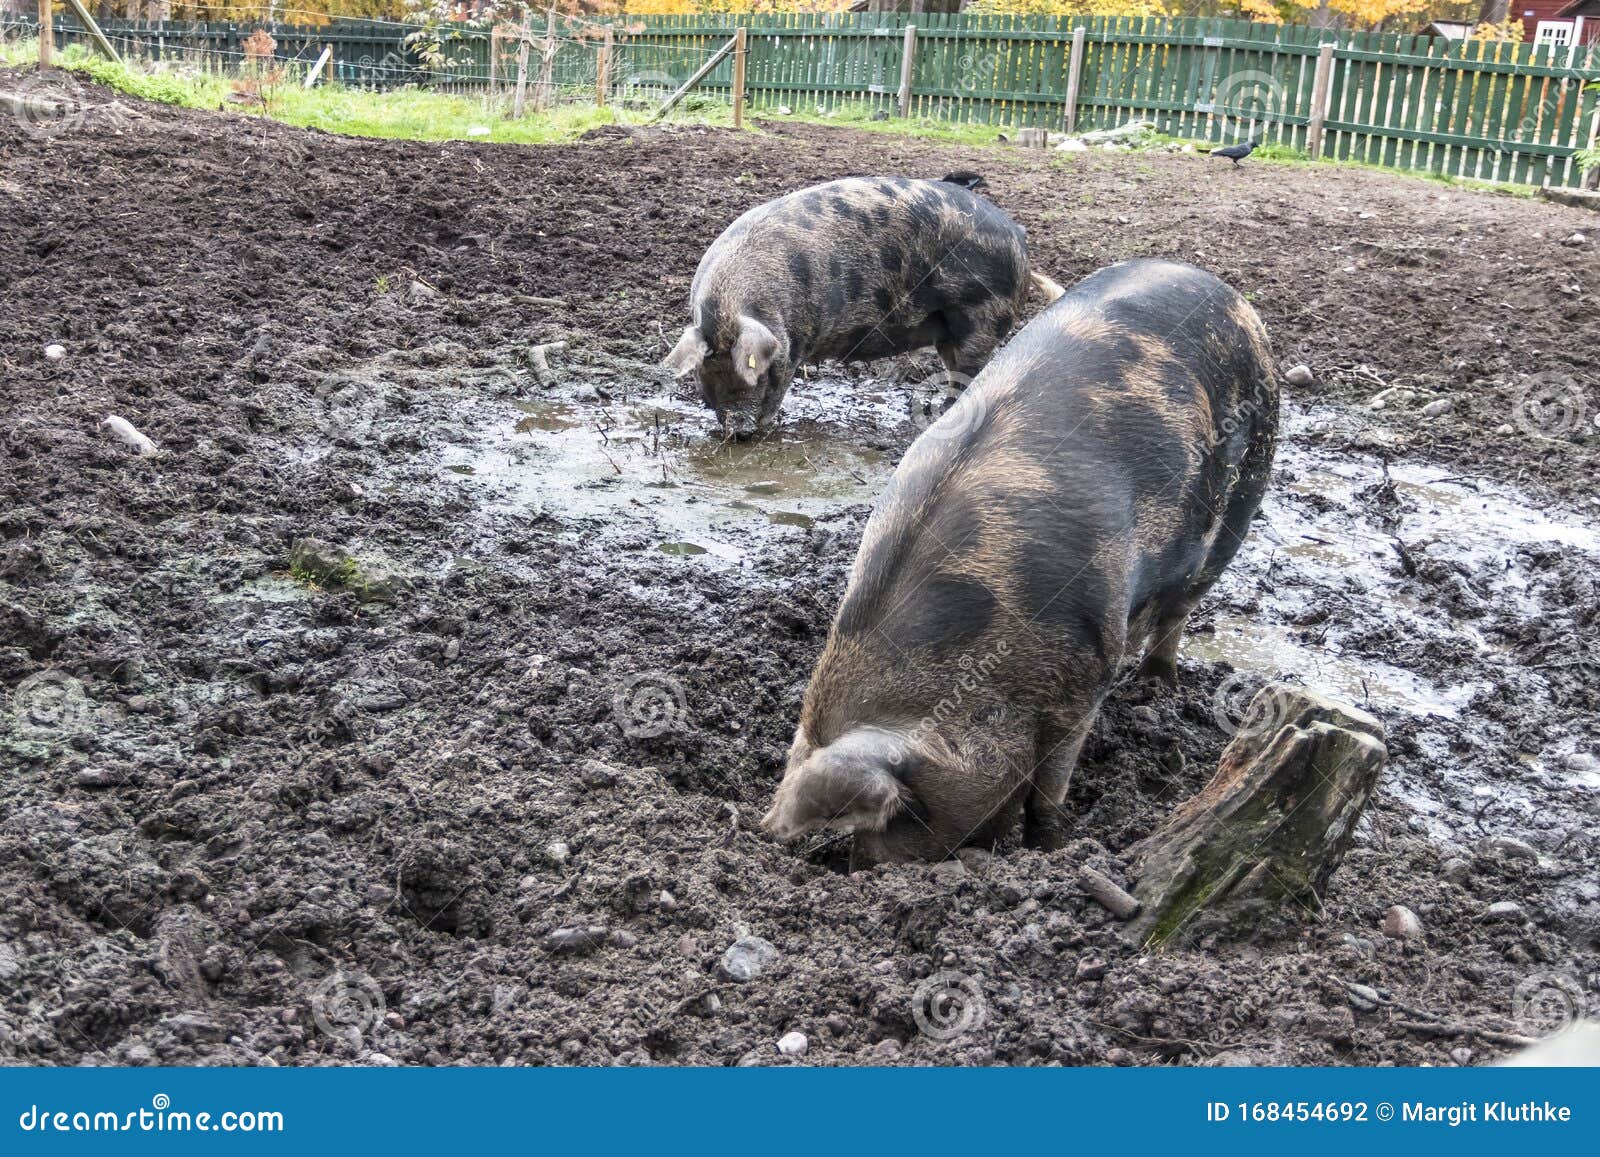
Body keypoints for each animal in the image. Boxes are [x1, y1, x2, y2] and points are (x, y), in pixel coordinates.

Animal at [662, 175, 1063, 438]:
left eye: (753, 373)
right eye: (706, 373)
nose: (737, 431)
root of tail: (1018, 236)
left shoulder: (792, 347)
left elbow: (776, 396)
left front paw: (766, 427)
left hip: (984, 314)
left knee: (971, 373)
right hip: (950, 330)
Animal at [761, 259, 1280, 862]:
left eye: (901, 817)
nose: (860, 867)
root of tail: (1221, 289)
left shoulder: (1087, 675)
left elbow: (1048, 790)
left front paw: (1047, 850)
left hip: (1251, 477)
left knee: (1183, 606)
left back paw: (1158, 684)